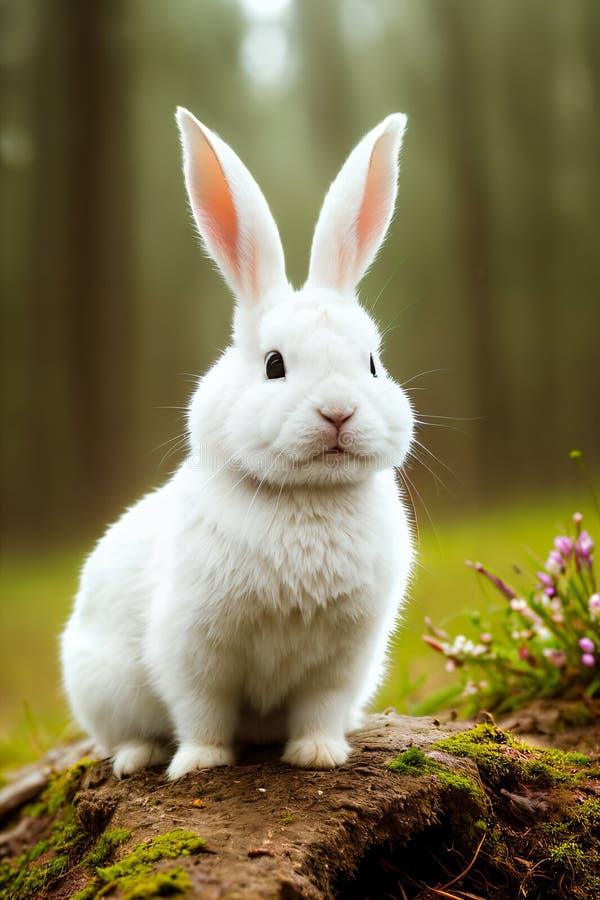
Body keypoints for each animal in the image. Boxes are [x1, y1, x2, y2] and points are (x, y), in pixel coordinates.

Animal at [61, 107, 415, 780]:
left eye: (374, 363)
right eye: (274, 365)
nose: (338, 412)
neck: (306, 498)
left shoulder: (343, 658)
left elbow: (320, 706)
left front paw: (318, 756)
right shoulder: (193, 648)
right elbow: (201, 709)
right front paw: (200, 764)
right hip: (100, 683)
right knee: (121, 733)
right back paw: (139, 759)